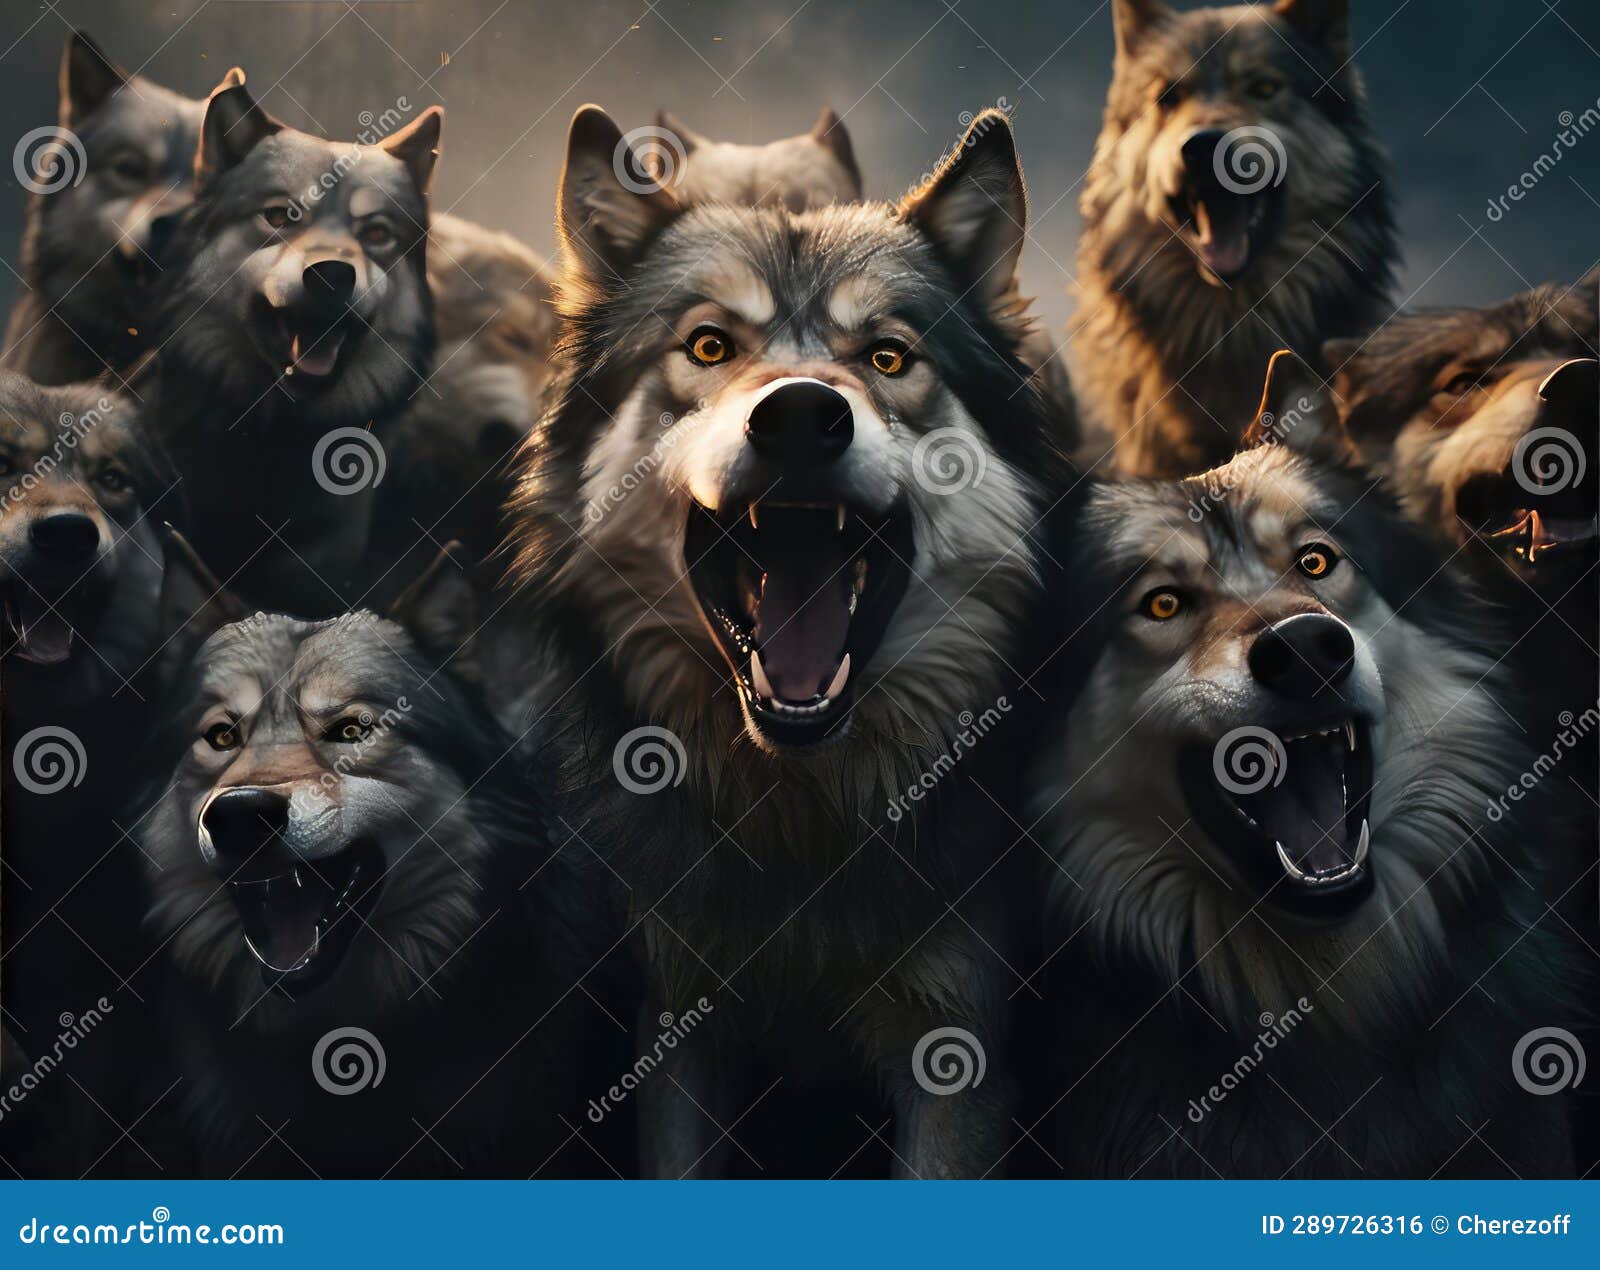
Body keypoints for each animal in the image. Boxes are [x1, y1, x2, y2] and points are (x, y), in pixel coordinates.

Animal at [508, 105, 1071, 1177]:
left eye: (888, 357)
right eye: (709, 346)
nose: (804, 414)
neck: (800, 820)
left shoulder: (959, 1051)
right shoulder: (679, 1032)